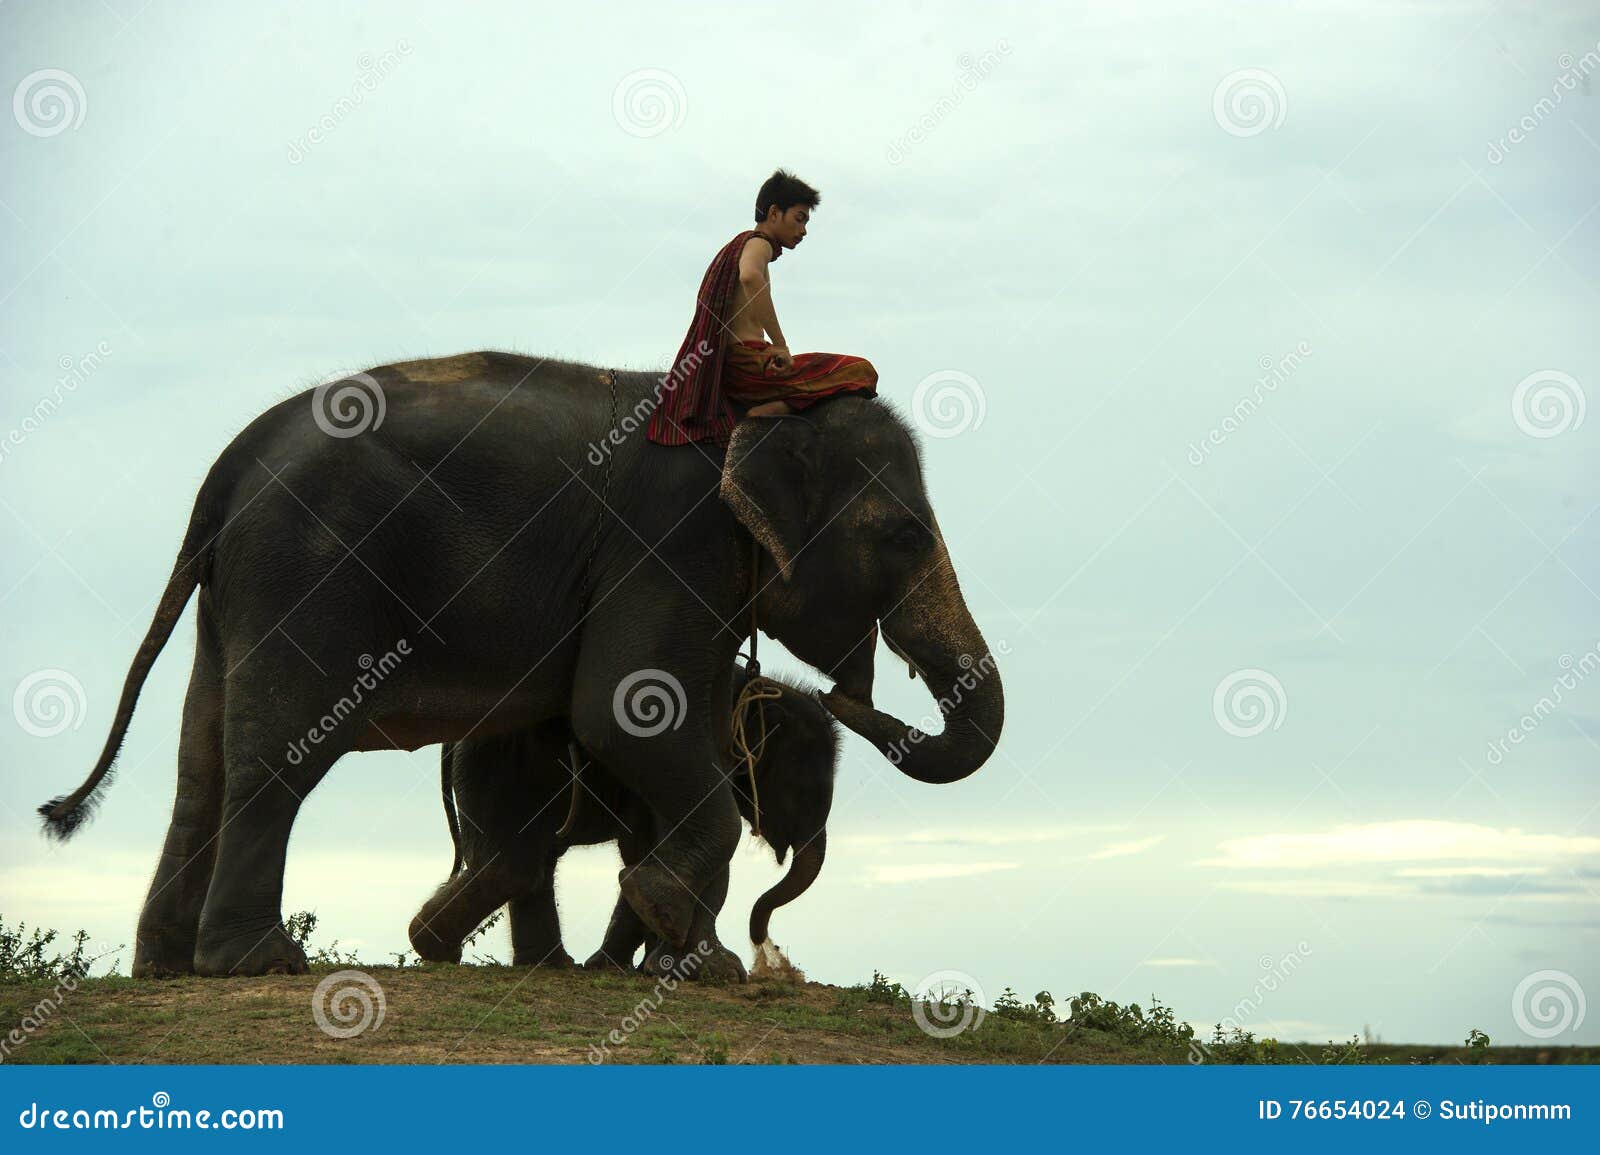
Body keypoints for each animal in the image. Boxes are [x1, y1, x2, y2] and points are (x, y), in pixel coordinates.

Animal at [407, 664, 838, 978]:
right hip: (491, 762)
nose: (769, 950)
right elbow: (647, 847)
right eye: (801, 791)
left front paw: (649, 967)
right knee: (511, 866)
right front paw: (708, 972)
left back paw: (545, 963)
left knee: (531, 863)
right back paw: (440, 949)